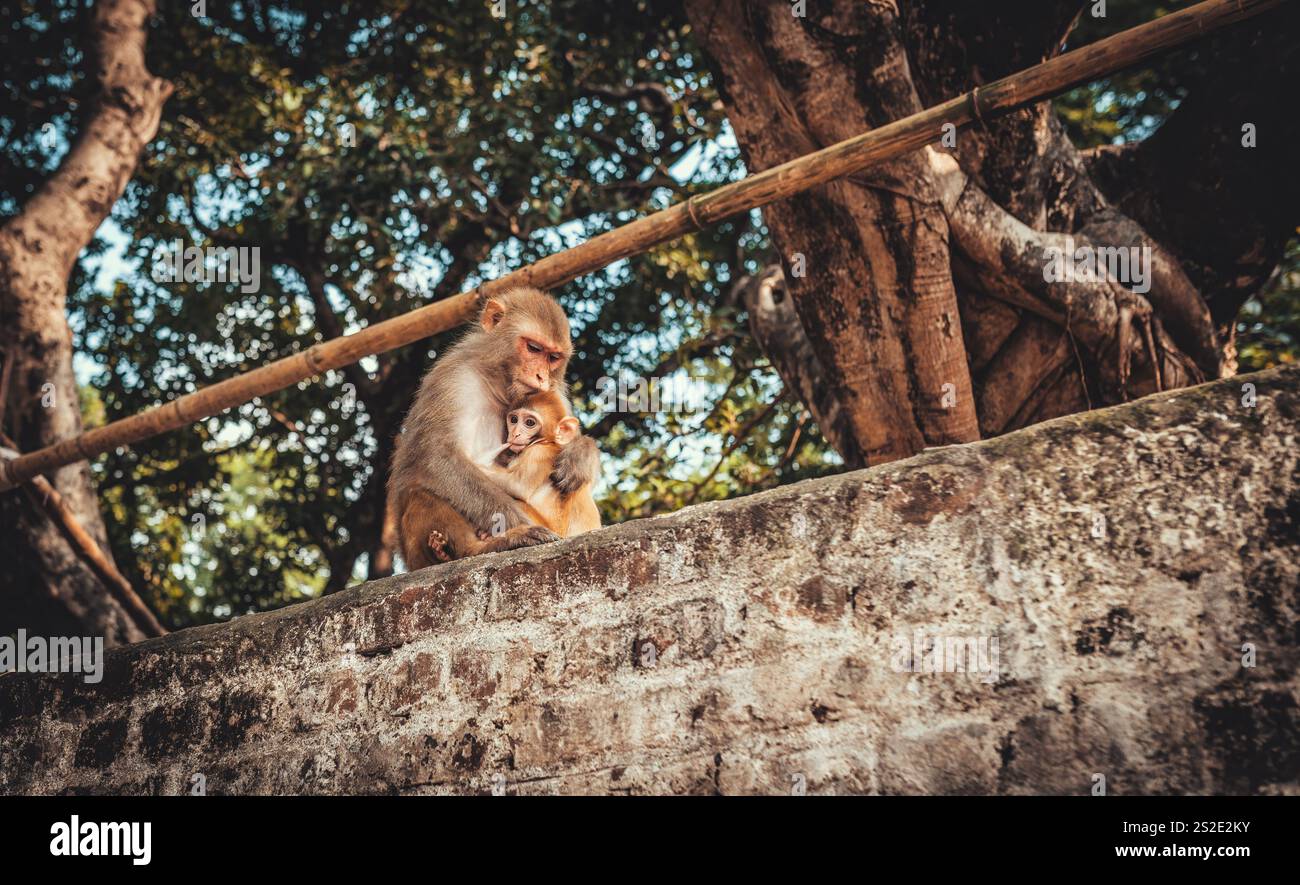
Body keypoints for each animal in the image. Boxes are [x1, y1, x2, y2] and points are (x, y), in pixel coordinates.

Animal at [388, 287, 602, 569]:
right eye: (534, 348)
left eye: (553, 358)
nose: (541, 377)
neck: (499, 383)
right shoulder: (453, 377)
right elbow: (436, 456)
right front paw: (518, 527)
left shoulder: (555, 392)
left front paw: (581, 454)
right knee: (421, 488)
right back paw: (479, 547)